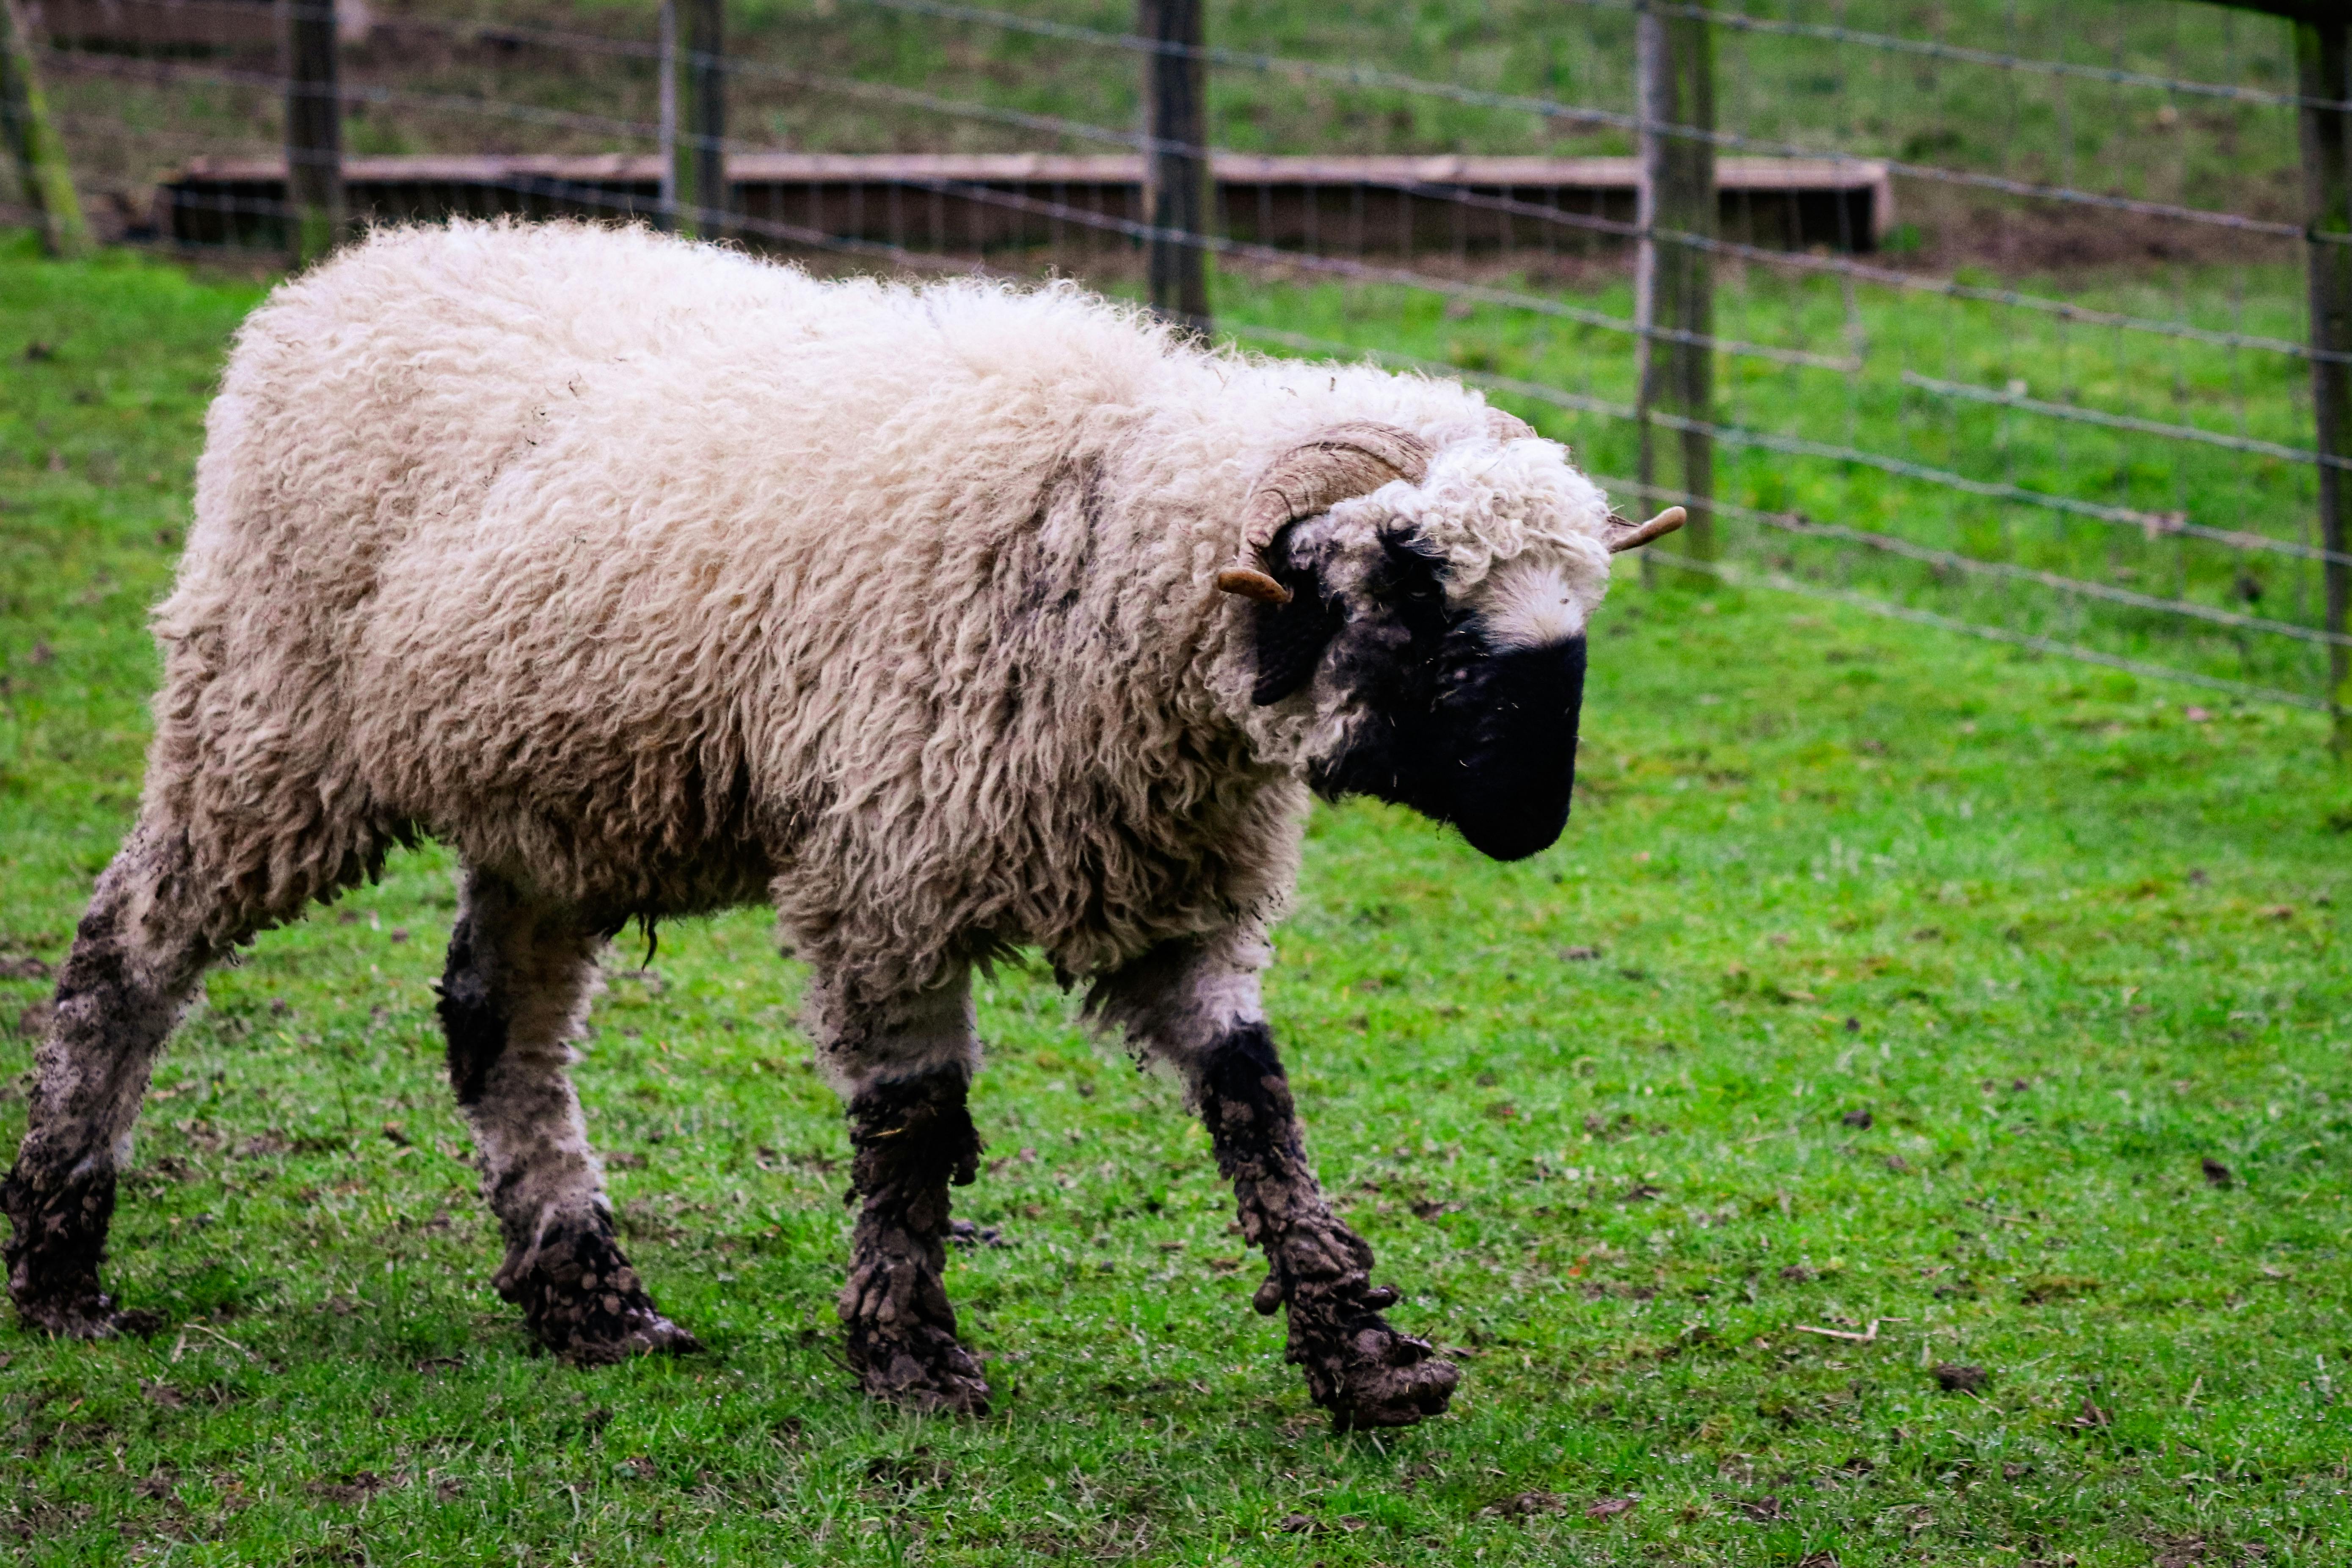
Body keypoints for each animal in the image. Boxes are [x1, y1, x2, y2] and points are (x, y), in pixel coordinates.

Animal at [1, 219, 1683, 1429]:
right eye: (1416, 598)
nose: (1534, 823)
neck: (1109, 555)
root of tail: (336, 273)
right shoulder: (892, 869)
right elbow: (913, 1124)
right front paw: (912, 1355)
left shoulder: (1171, 896)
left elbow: (1257, 1105)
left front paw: (1365, 1354)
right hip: (264, 720)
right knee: (127, 949)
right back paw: (64, 1261)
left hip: (546, 792)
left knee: (499, 1025)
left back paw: (591, 1298)